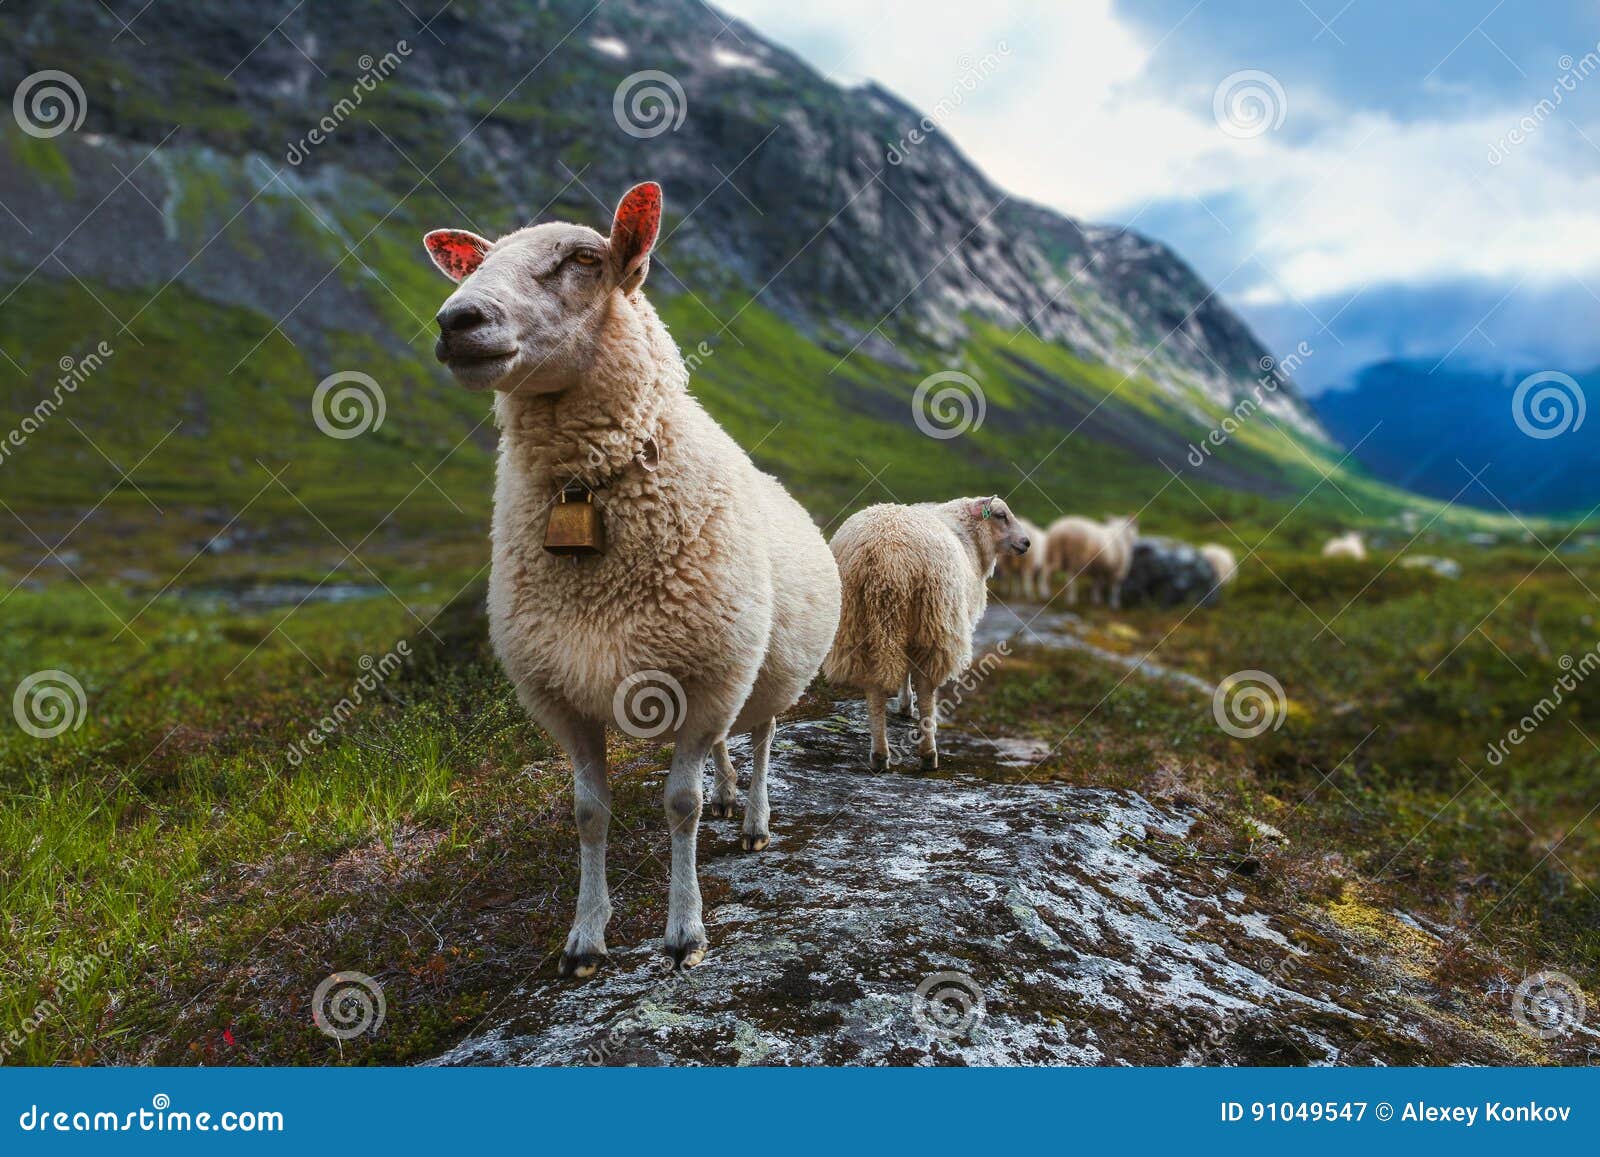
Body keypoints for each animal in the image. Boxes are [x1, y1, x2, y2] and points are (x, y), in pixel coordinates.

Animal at [424, 182, 841, 975]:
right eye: (480, 261)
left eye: (585, 260)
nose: (456, 321)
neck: (585, 490)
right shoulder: (564, 696)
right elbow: (590, 813)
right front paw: (586, 936)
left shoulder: (708, 676)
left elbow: (680, 805)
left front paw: (685, 931)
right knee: (727, 747)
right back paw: (730, 793)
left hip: (766, 671)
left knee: (763, 736)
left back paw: (753, 816)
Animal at [823, 497, 1030, 771]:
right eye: (1000, 515)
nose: (1026, 542)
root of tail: (887, 558)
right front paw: (907, 706)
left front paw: (904, 704)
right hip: (934, 618)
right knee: (926, 687)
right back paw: (928, 753)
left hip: (858, 622)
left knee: (875, 689)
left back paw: (879, 754)